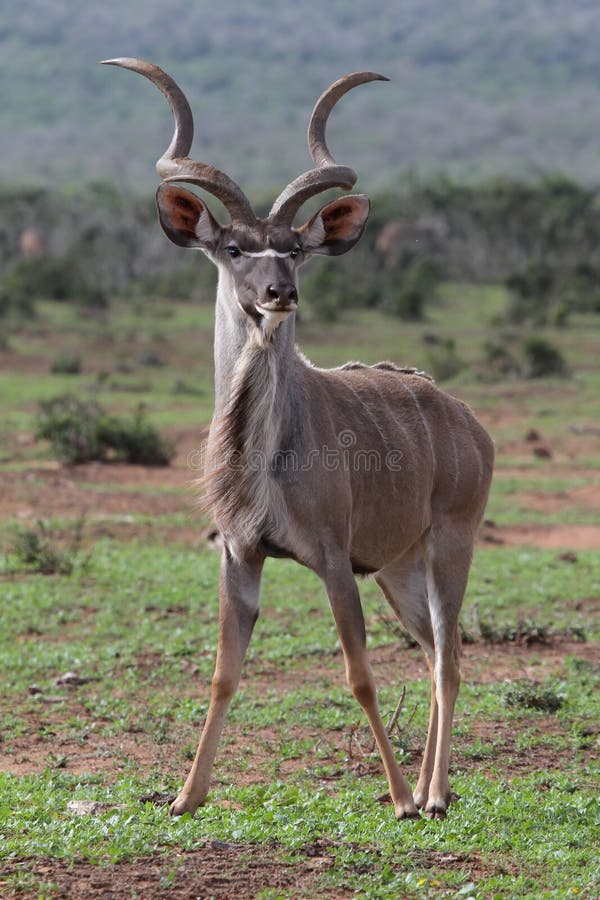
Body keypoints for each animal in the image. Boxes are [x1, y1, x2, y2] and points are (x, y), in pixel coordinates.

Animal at [104, 58, 494, 820]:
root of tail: (471, 424)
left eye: (293, 250)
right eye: (233, 248)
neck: (263, 457)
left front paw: (398, 800)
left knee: (451, 657)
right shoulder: (241, 555)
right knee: (433, 652)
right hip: (399, 569)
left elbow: (359, 674)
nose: (278, 293)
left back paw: (432, 795)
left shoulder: (334, 560)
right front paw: (186, 797)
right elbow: (224, 674)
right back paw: (435, 788)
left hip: (448, 547)